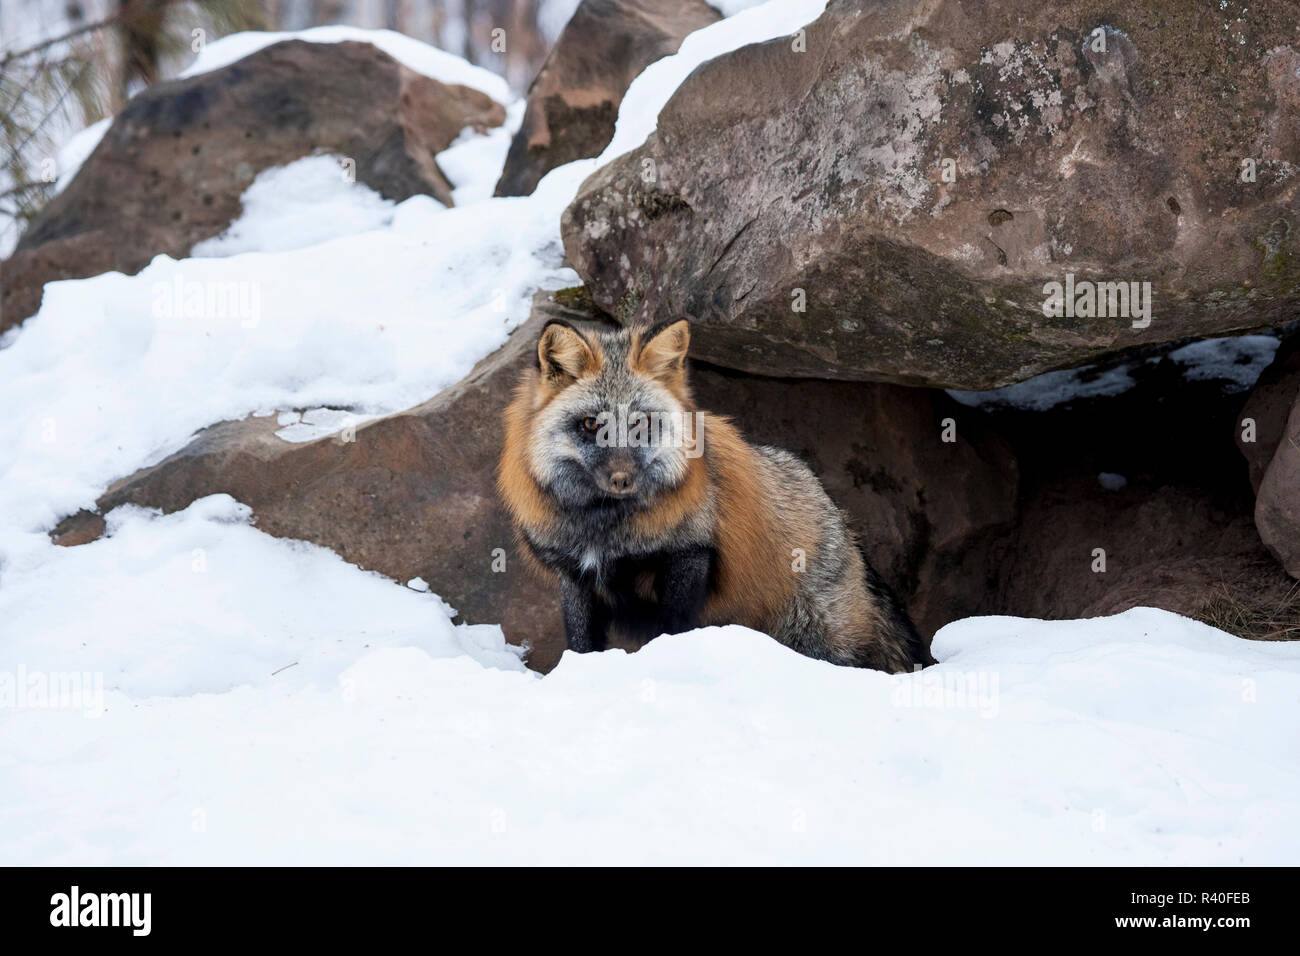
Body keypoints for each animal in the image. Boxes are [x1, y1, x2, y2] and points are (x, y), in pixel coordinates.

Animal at [497, 315, 932, 672]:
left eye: (641, 424)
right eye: (591, 424)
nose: (622, 480)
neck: (603, 530)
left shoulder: (689, 555)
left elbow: (673, 631)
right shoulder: (574, 576)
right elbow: (582, 646)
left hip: (816, 636)